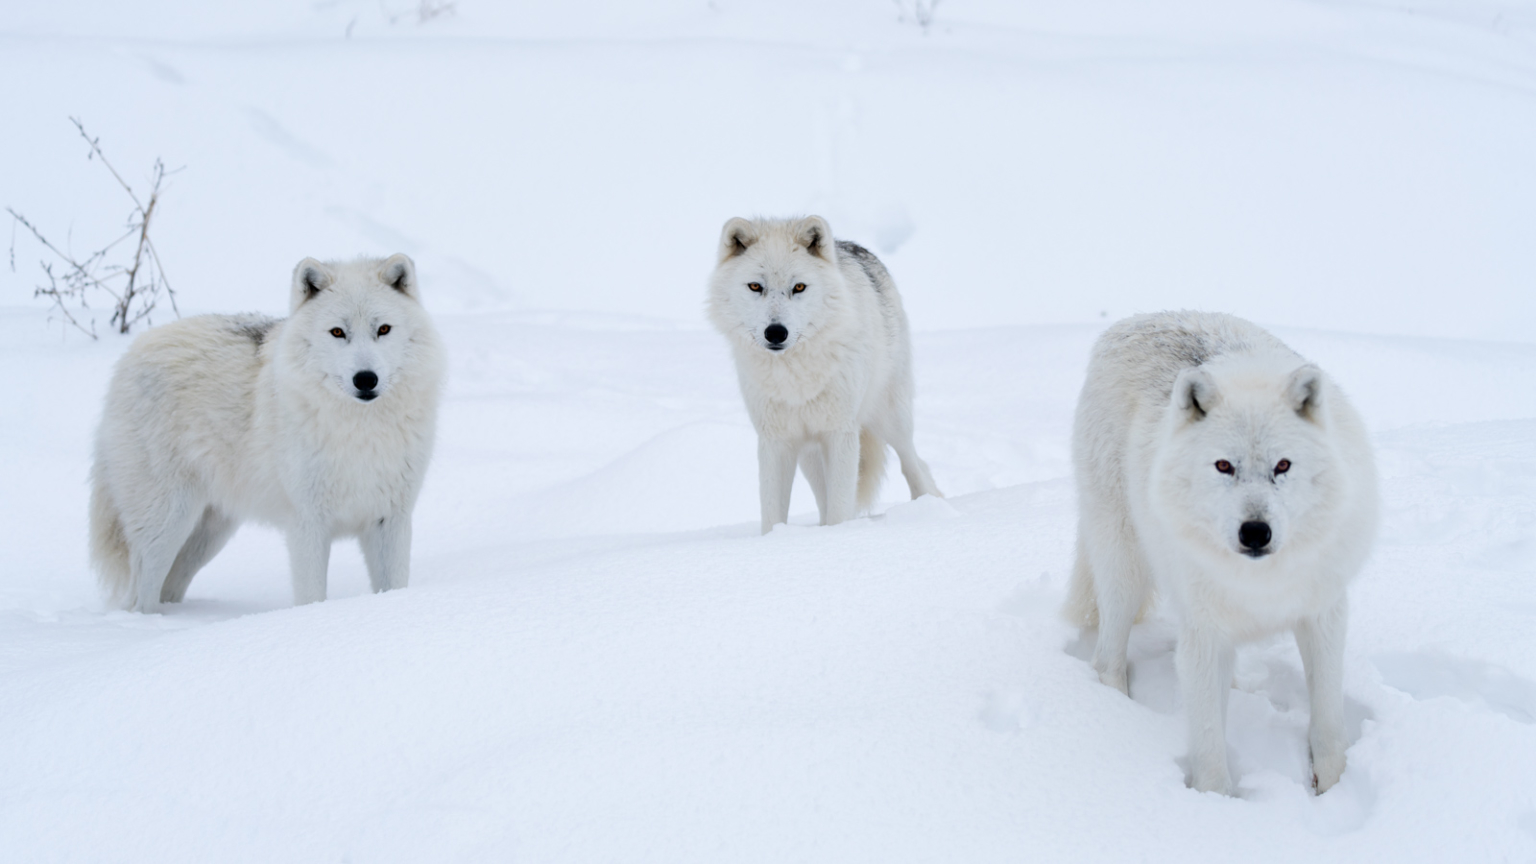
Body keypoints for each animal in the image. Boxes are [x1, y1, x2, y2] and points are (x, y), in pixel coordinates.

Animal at [90, 254, 446, 612]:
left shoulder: (391, 520)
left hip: (208, 534)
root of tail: (131, 353)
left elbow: (394, 586)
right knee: (140, 597)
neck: (361, 431)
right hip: (167, 524)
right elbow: (311, 596)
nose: (365, 379)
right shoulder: (307, 523)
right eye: (337, 332)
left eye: (383, 329)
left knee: (169, 588)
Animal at [707, 216, 942, 533]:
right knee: (823, 499)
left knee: (915, 464)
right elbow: (772, 511)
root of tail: (855, 247)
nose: (776, 332)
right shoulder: (776, 441)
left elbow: (840, 506)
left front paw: (836, 536)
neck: (795, 378)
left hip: (890, 419)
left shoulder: (840, 433)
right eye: (755, 286)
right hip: (810, 454)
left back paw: (930, 506)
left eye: (799, 287)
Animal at [1063, 311, 1378, 795]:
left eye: (1283, 466)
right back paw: (1118, 714)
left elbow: (1327, 719)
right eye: (1224, 466)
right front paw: (1216, 804)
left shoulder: (1322, 614)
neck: (1261, 580)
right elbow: (1209, 741)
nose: (1255, 532)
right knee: (1107, 656)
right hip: (1124, 566)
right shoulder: (1203, 634)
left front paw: (1333, 787)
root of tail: (1129, 322)